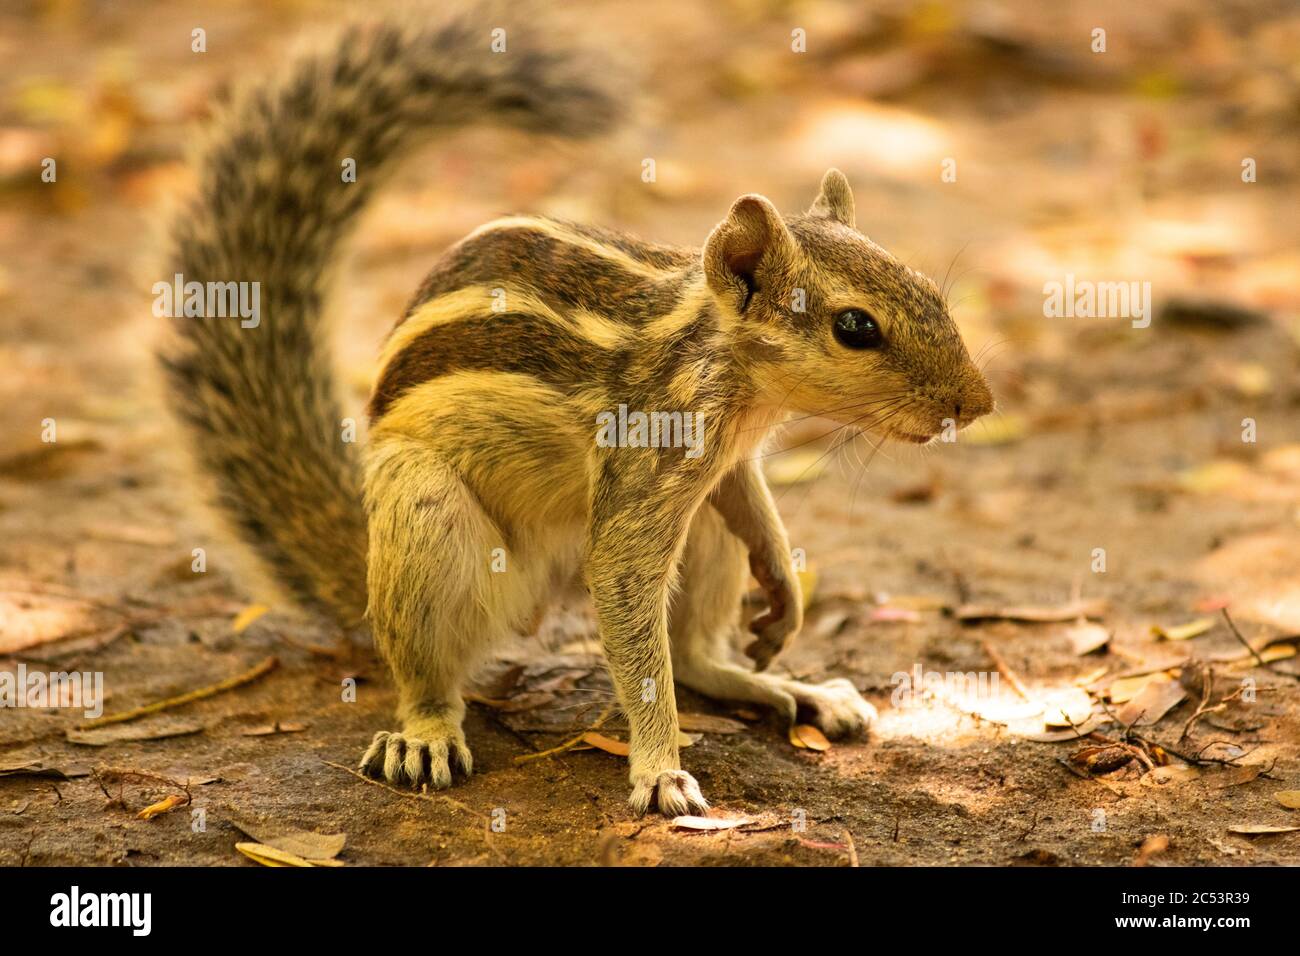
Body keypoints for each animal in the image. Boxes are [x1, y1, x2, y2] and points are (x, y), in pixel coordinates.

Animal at [159, 4, 994, 816]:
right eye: (856, 327)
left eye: (926, 284)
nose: (978, 404)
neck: (730, 379)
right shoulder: (642, 474)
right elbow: (628, 613)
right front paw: (659, 770)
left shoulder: (723, 467)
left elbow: (752, 509)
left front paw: (783, 596)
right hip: (423, 512)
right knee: (429, 673)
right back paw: (424, 735)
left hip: (697, 533)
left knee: (695, 655)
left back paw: (790, 689)